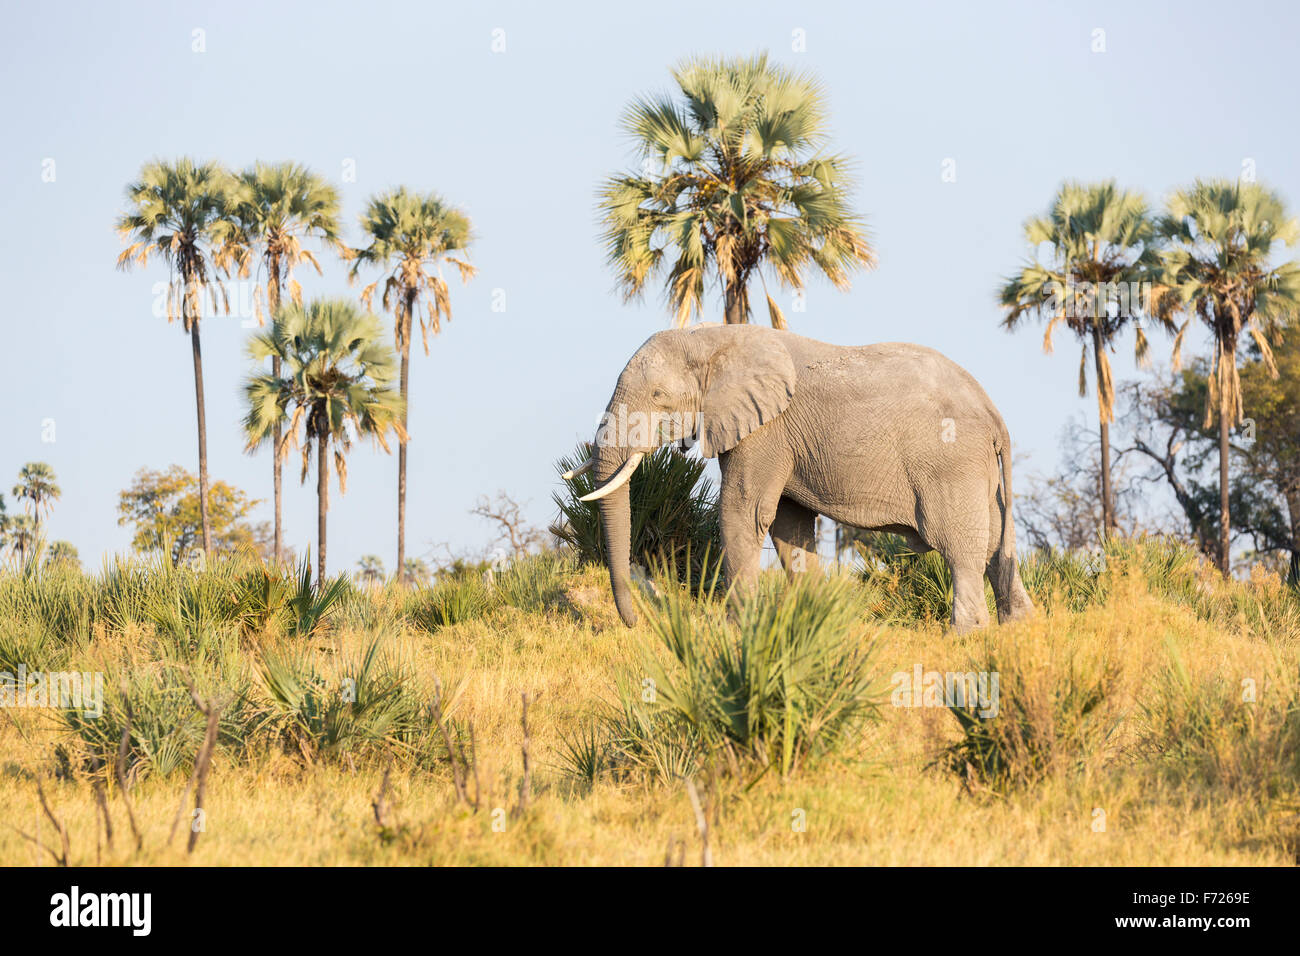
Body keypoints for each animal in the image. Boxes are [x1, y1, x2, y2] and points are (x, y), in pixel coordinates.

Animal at [565, 324, 1036, 632]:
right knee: (995, 545)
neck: (711, 337)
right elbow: (788, 524)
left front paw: (734, 631)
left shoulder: (765, 430)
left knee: (958, 546)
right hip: (979, 470)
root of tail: (993, 412)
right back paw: (1019, 626)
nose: (635, 623)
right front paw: (813, 618)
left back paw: (967, 633)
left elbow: (745, 511)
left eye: (659, 396)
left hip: (950, 463)